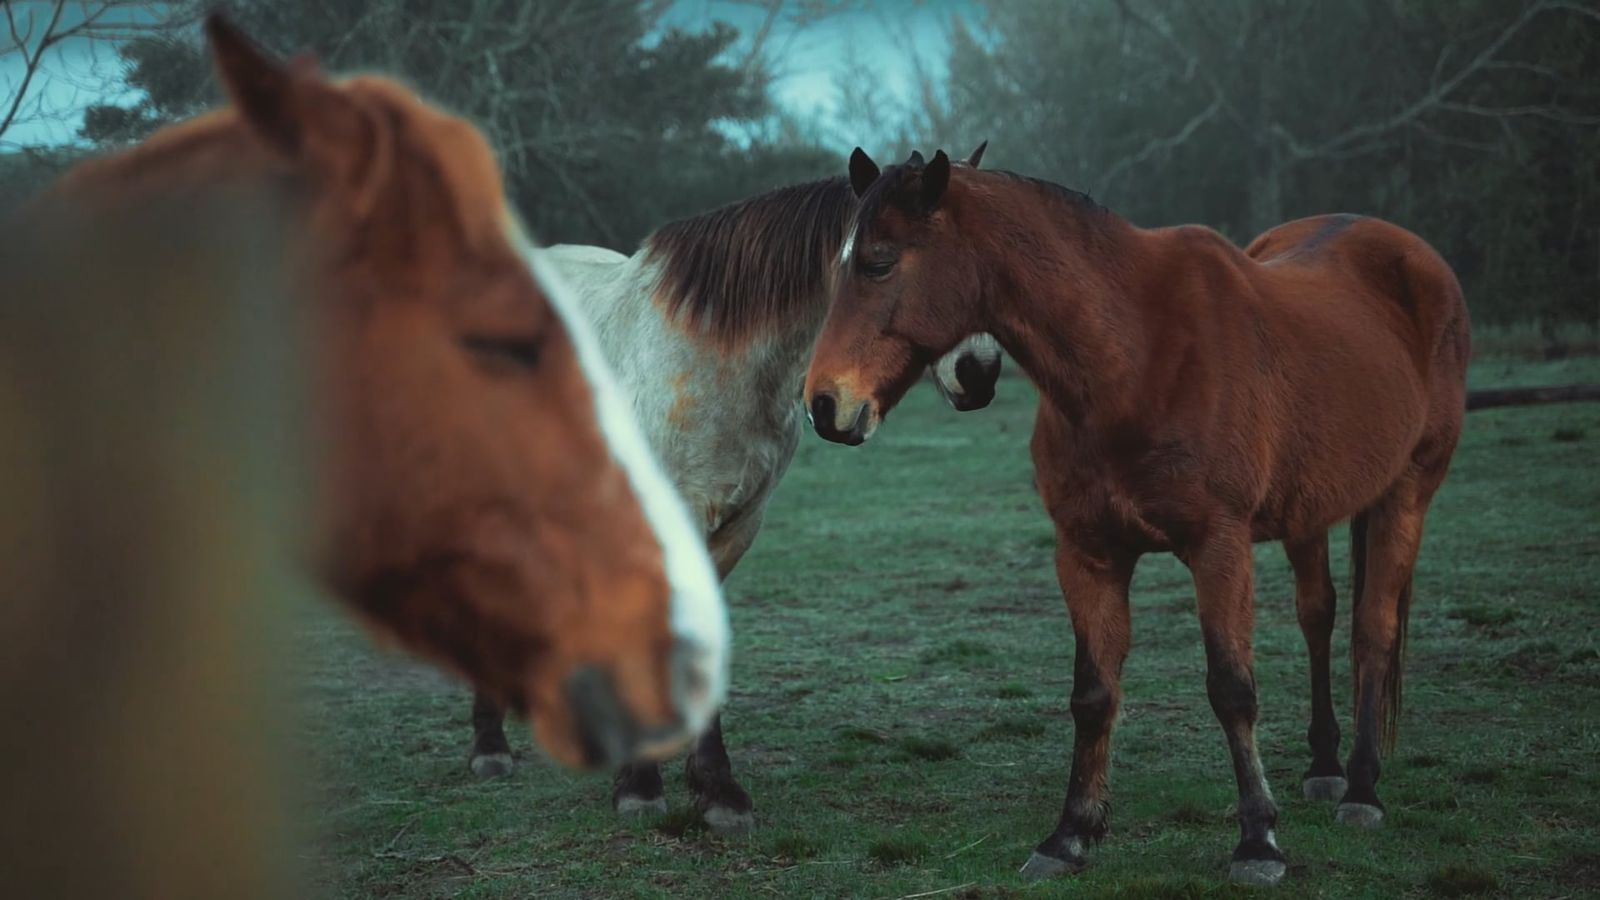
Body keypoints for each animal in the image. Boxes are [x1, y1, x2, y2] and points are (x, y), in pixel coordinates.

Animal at [462, 173, 1004, 831]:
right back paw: (490, 746)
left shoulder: (736, 526)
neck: (714, 358)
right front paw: (640, 785)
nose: (979, 370)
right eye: (884, 262)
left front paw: (716, 790)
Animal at [805, 146, 1470, 885]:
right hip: (1311, 512)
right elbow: (1094, 694)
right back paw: (1325, 767)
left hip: (1408, 491)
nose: (825, 405)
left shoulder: (1219, 548)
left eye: (880, 263)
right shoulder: (1087, 553)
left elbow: (1231, 688)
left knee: (1373, 630)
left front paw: (1258, 841)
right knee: (1318, 617)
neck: (1133, 355)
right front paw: (1070, 835)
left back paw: (1361, 787)